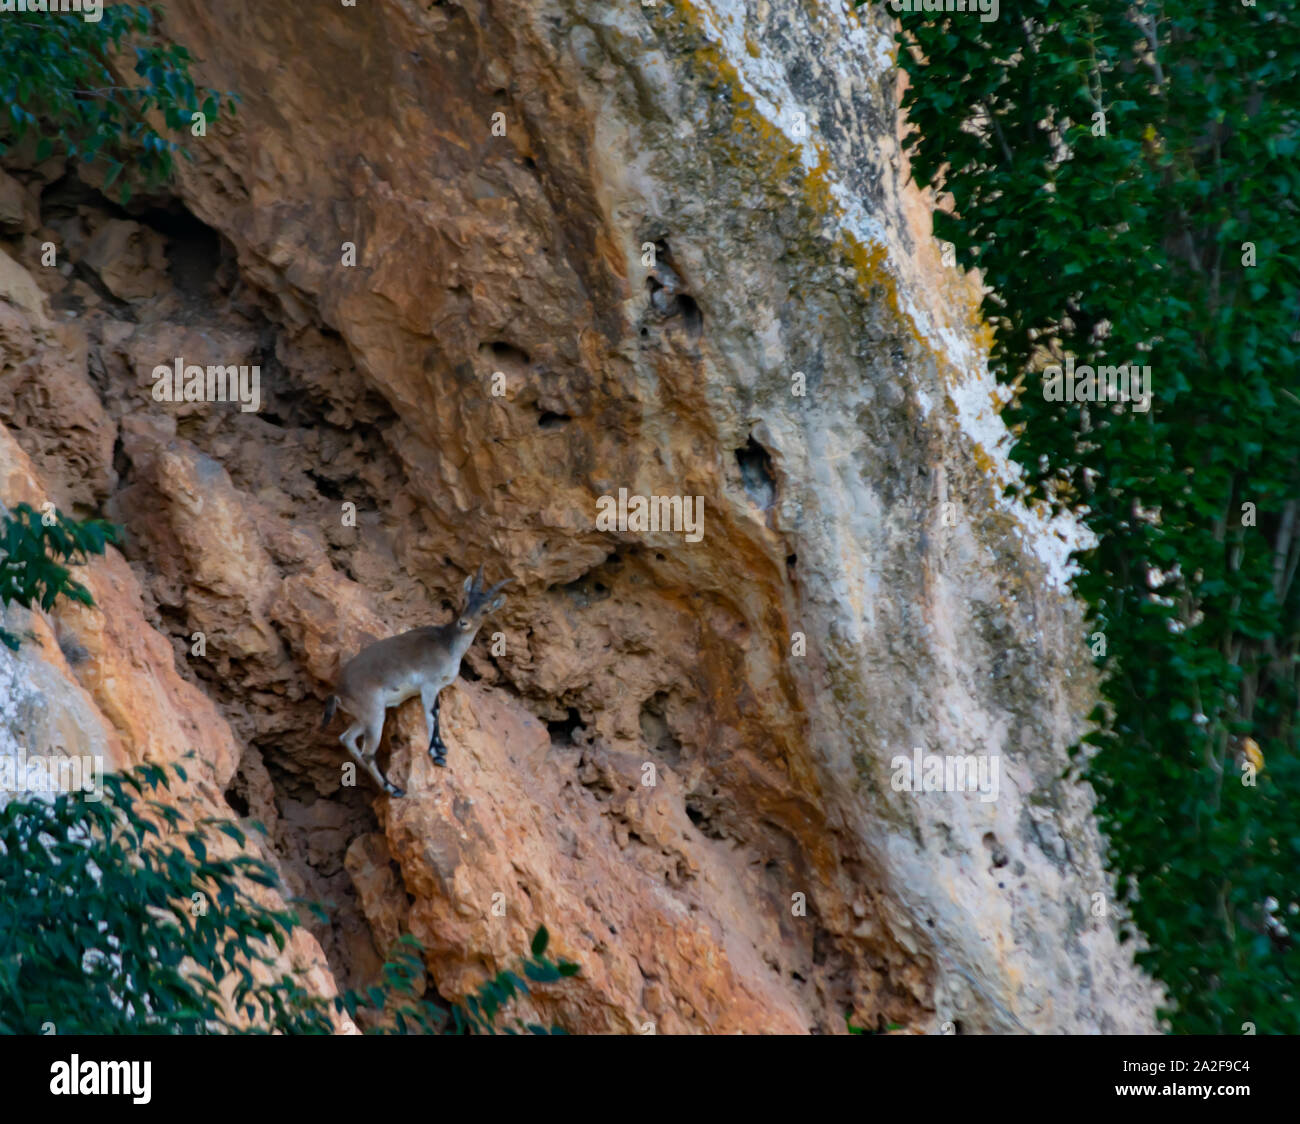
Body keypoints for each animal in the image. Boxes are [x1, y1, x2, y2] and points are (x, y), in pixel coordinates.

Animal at [322, 566, 512, 797]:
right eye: (465, 600)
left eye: (485, 609)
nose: (463, 622)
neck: (447, 644)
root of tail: (338, 692)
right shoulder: (429, 684)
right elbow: (432, 713)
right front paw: (436, 754)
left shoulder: (437, 687)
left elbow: (436, 712)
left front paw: (440, 748)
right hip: (373, 713)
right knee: (367, 752)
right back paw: (394, 789)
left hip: (365, 715)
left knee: (347, 738)